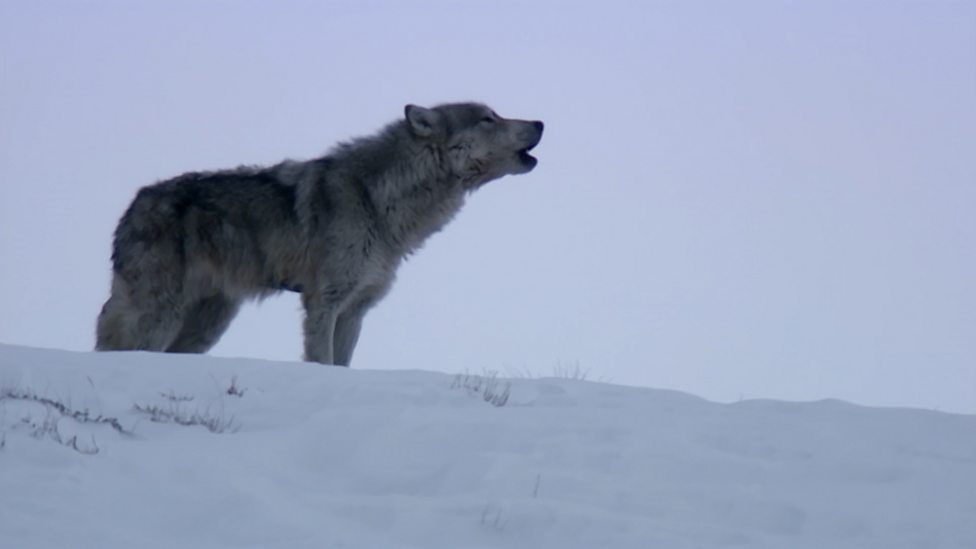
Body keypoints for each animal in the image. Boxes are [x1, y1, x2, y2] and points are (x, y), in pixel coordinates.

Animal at [95, 102, 543, 365]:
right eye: (489, 118)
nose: (540, 121)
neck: (378, 200)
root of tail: (135, 202)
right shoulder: (323, 302)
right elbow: (321, 359)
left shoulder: (356, 309)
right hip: (160, 316)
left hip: (207, 325)